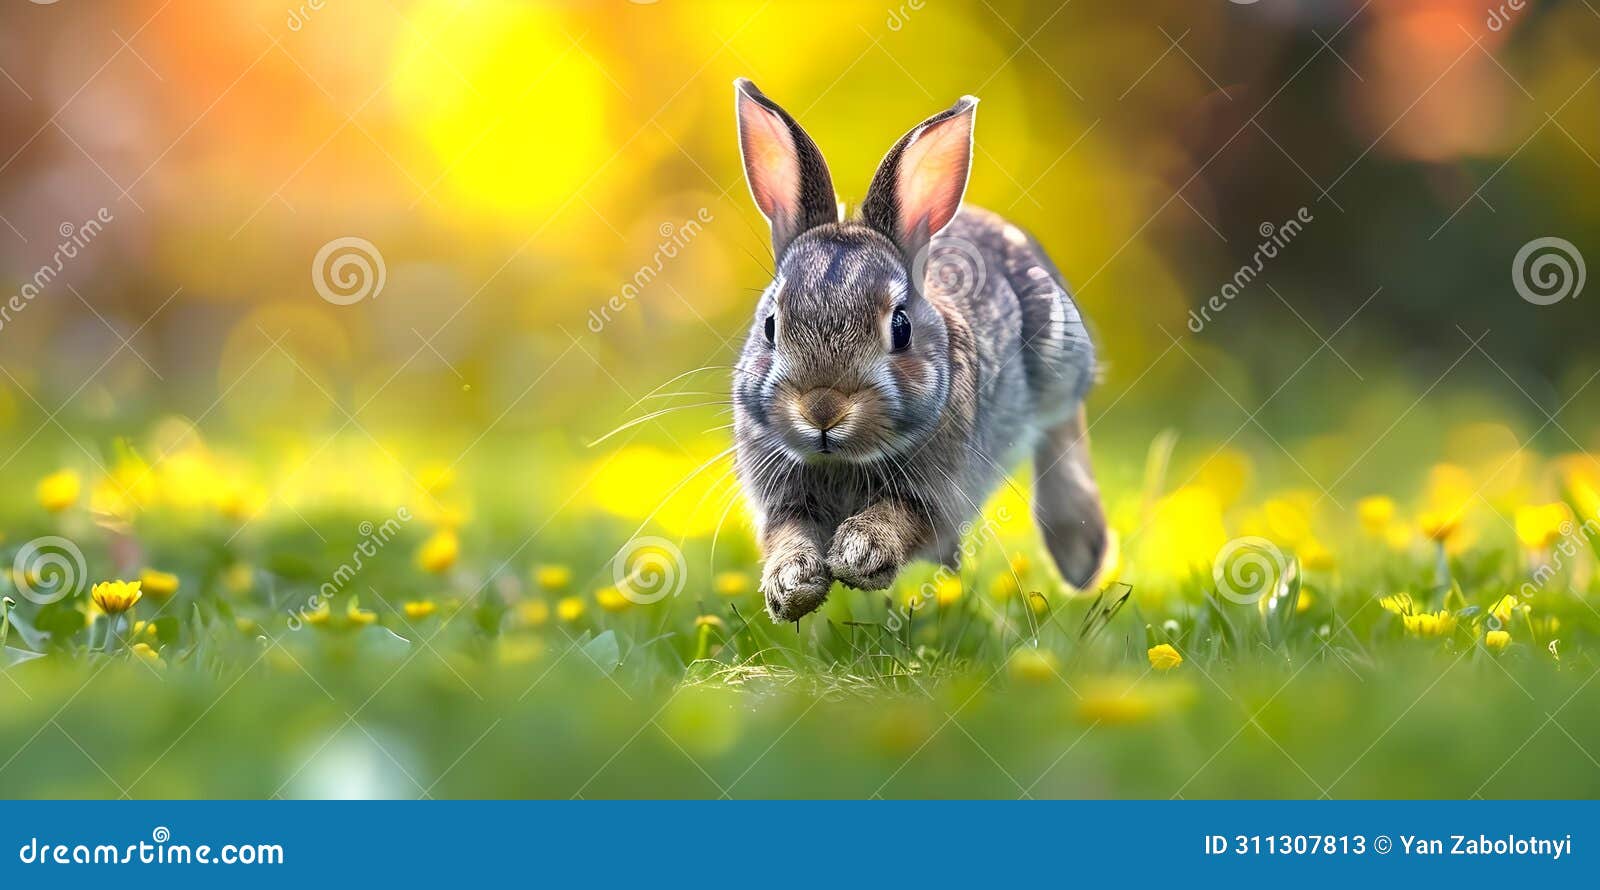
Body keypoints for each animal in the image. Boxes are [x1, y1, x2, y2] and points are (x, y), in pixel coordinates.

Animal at [730, 78, 1106, 623]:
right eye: (770, 326)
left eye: (901, 327)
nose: (822, 410)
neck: (844, 461)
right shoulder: (781, 497)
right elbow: (788, 535)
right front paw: (791, 584)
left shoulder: (939, 494)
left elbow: (907, 520)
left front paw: (859, 553)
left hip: (1061, 360)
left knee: (1062, 425)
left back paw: (1080, 554)